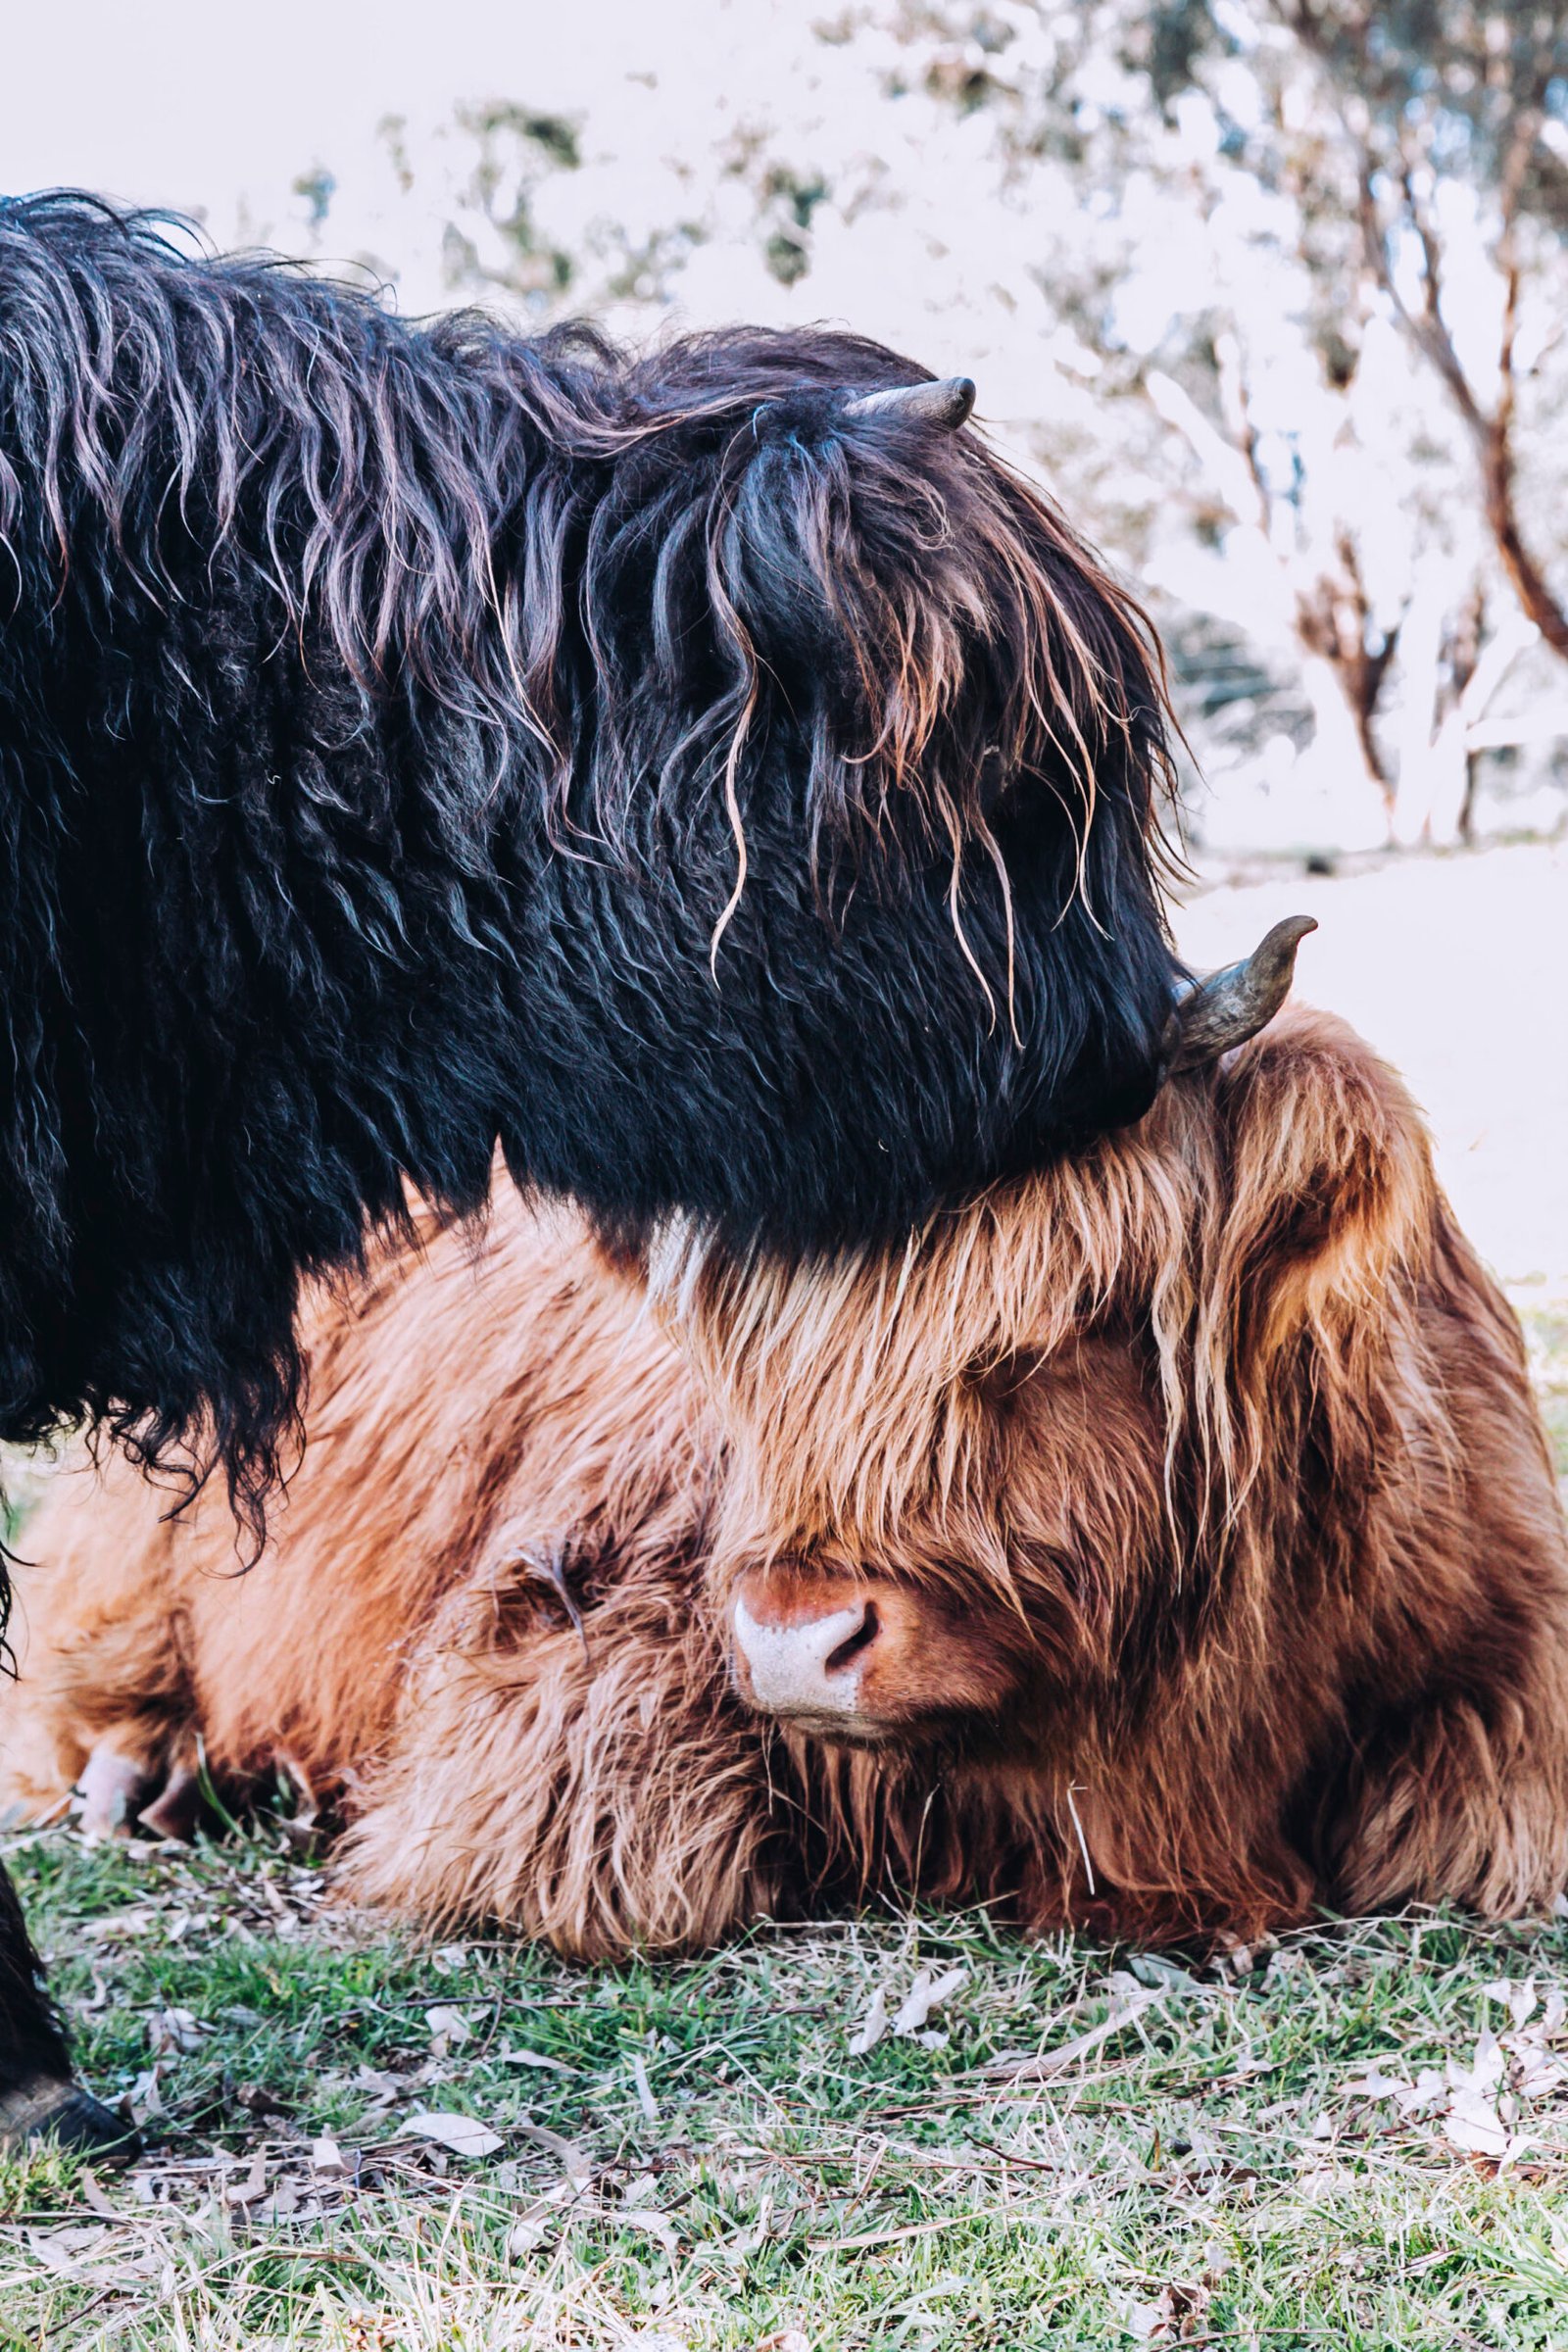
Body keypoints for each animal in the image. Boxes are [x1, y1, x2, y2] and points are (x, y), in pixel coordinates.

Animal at [9, 1001, 1565, 1965]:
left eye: (1072, 1323)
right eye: (748, 1365)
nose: (794, 1640)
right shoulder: (563, 1666)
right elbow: (628, 1858)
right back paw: (145, 1774)